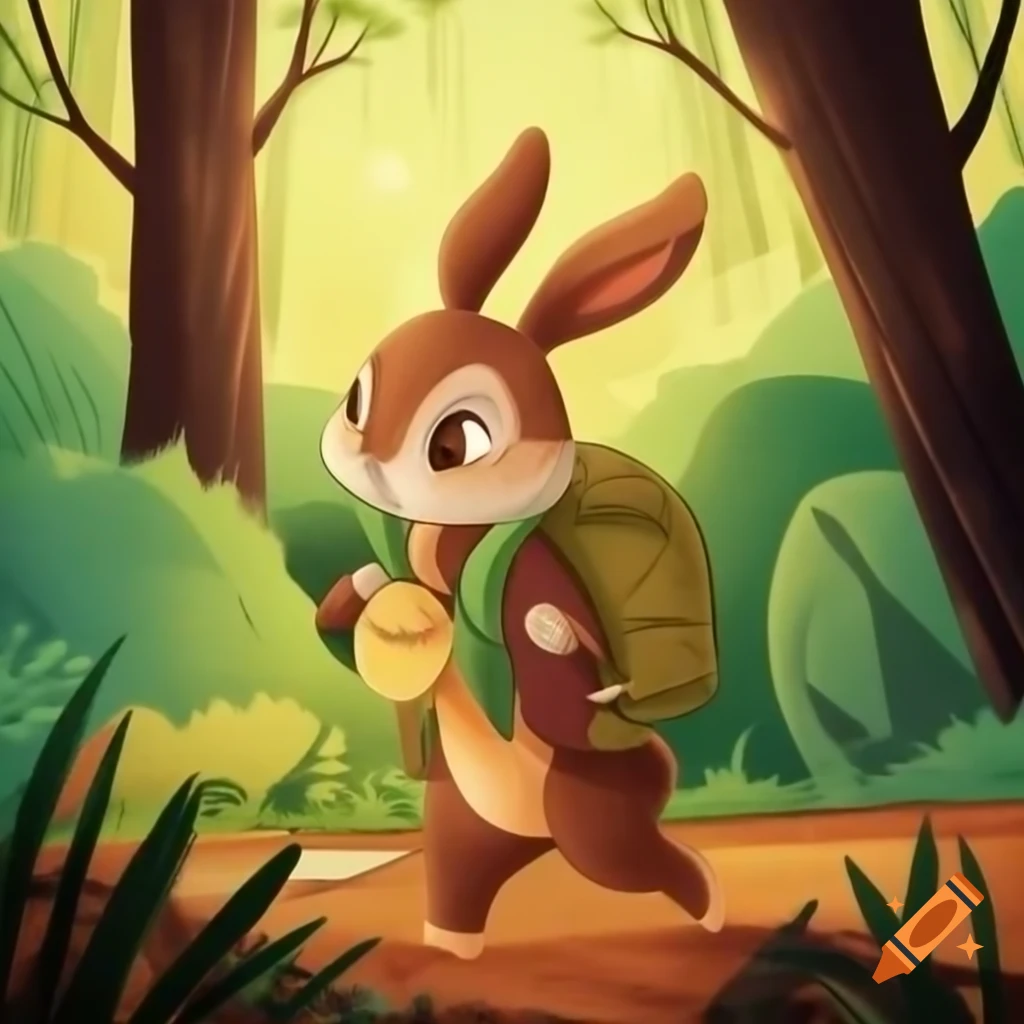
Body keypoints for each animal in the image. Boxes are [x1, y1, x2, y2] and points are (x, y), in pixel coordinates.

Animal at [316, 126, 723, 960]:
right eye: (358, 399)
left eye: (455, 444)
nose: (367, 457)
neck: (446, 547)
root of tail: (534, 844)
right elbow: (353, 612)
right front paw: (366, 595)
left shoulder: (529, 579)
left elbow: (545, 639)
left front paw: (555, 643)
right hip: (461, 824)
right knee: (459, 873)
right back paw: (451, 946)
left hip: (597, 812)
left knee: (631, 856)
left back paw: (708, 902)